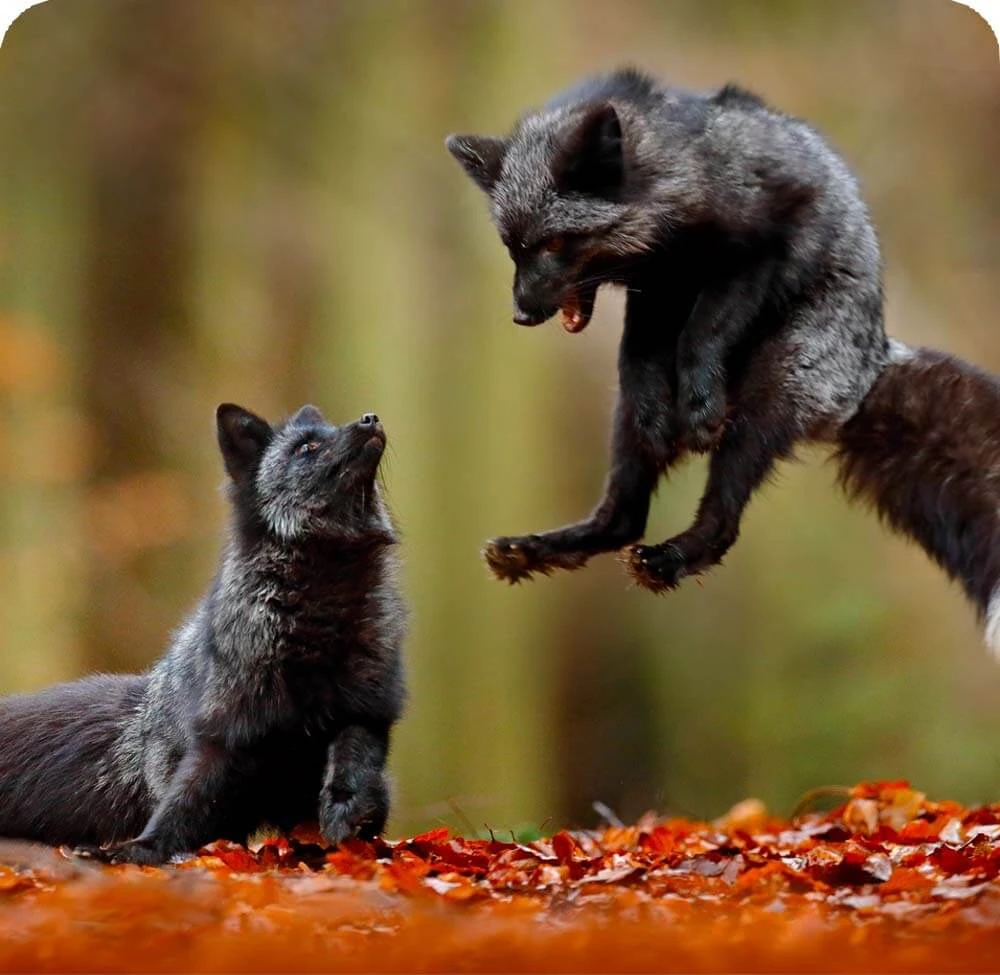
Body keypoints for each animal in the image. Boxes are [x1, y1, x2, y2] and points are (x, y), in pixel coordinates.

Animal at [0, 404, 406, 864]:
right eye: (307, 447)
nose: (370, 418)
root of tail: (145, 710)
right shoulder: (222, 733)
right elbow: (183, 805)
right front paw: (139, 850)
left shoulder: (367, 709)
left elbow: (352, 758)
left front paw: (343, 810)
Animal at [446, 68, 1000, 653]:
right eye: (513, 248)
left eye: (554, 243)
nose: (522, 315)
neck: (680, 176)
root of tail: (874, 358)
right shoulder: (656, 294)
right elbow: (640, 355)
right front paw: (665, 407)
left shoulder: (755, 251)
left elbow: (702, 332)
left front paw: (699, 405)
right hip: (625, 422)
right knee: (623, 519)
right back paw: (539, 549)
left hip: (767, 401)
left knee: (721, 526)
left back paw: (674, 556)